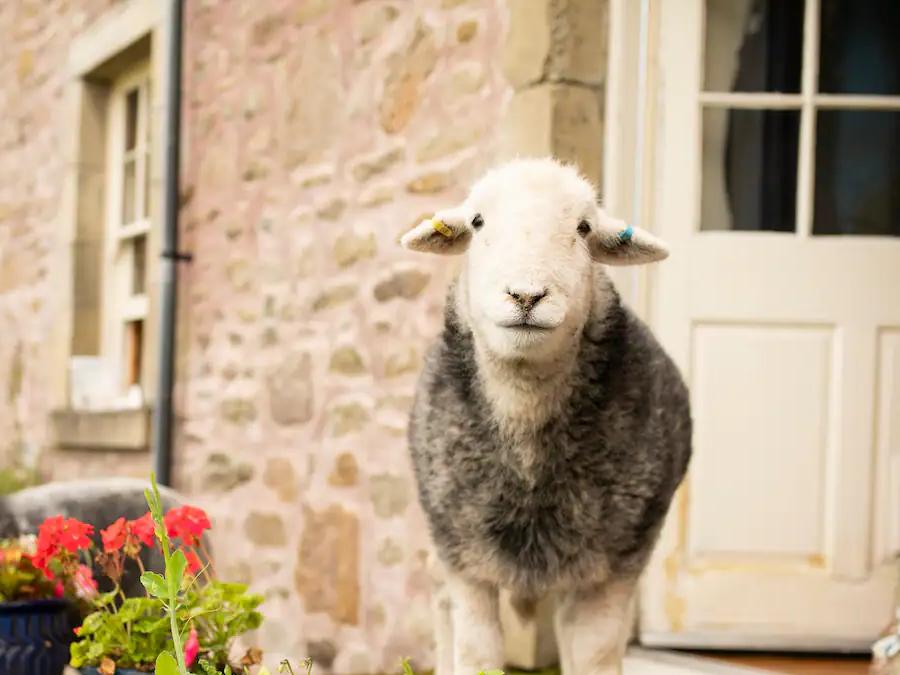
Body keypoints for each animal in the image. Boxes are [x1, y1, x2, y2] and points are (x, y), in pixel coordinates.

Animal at [401, 158, 692, 675]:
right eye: (477, 222)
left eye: (583, 228)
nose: (526, 296)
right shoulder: (466, 562)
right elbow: (476, 652)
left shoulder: (615, 566)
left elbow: (595, 654)